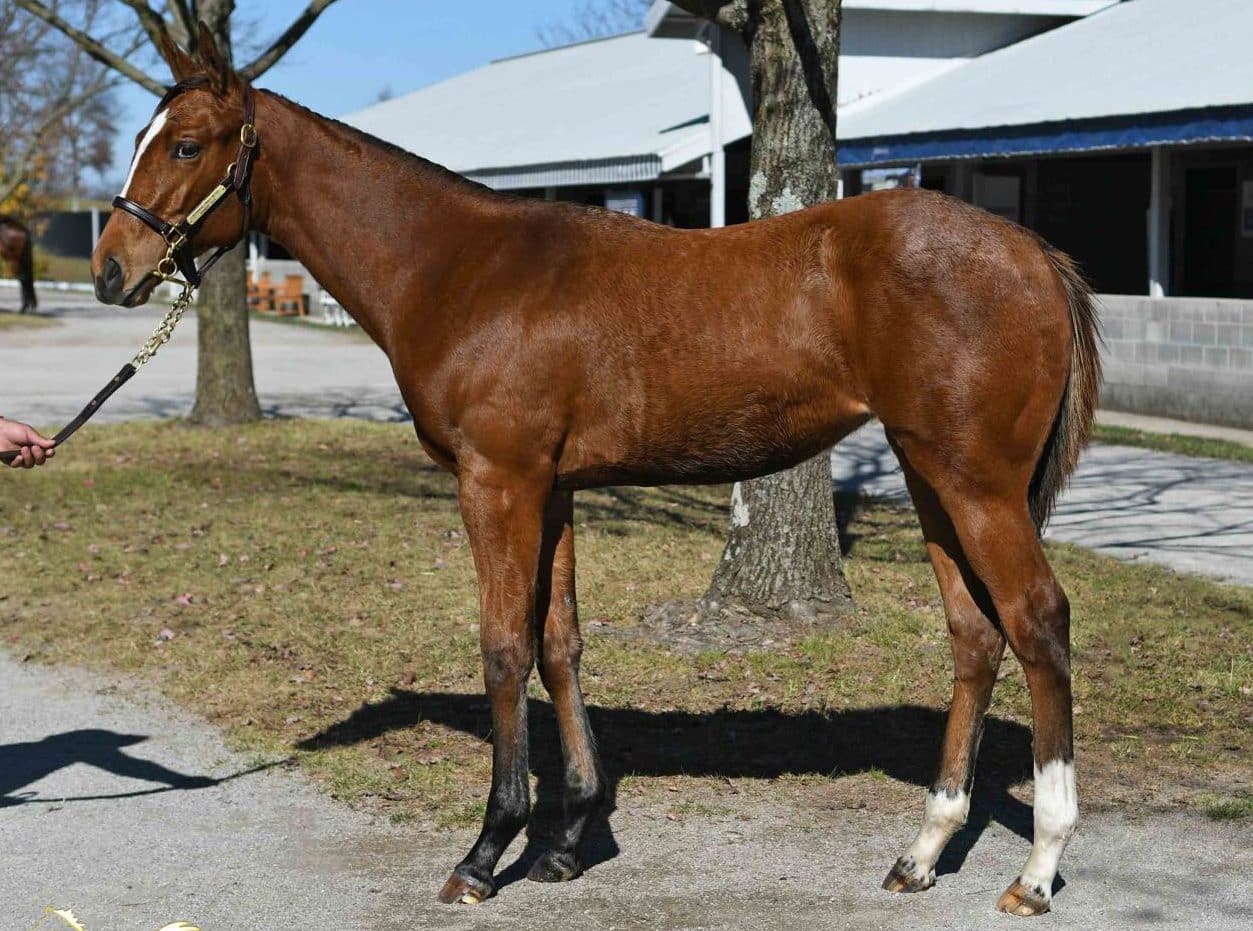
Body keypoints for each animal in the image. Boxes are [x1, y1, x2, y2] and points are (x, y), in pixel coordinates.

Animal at [90, 27, 1100, 918]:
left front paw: (486, 850)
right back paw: (921, 853)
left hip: (975, 485)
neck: (462, 268)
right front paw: (569, 840)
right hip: (931, 478)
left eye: (185, 143)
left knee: (1037, 622)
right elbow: (559, 644)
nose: (110, 270)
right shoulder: (554, 488)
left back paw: (1037, 870)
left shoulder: (496, 482)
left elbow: (503, 646)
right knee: (974, 636)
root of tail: (1032, 253)